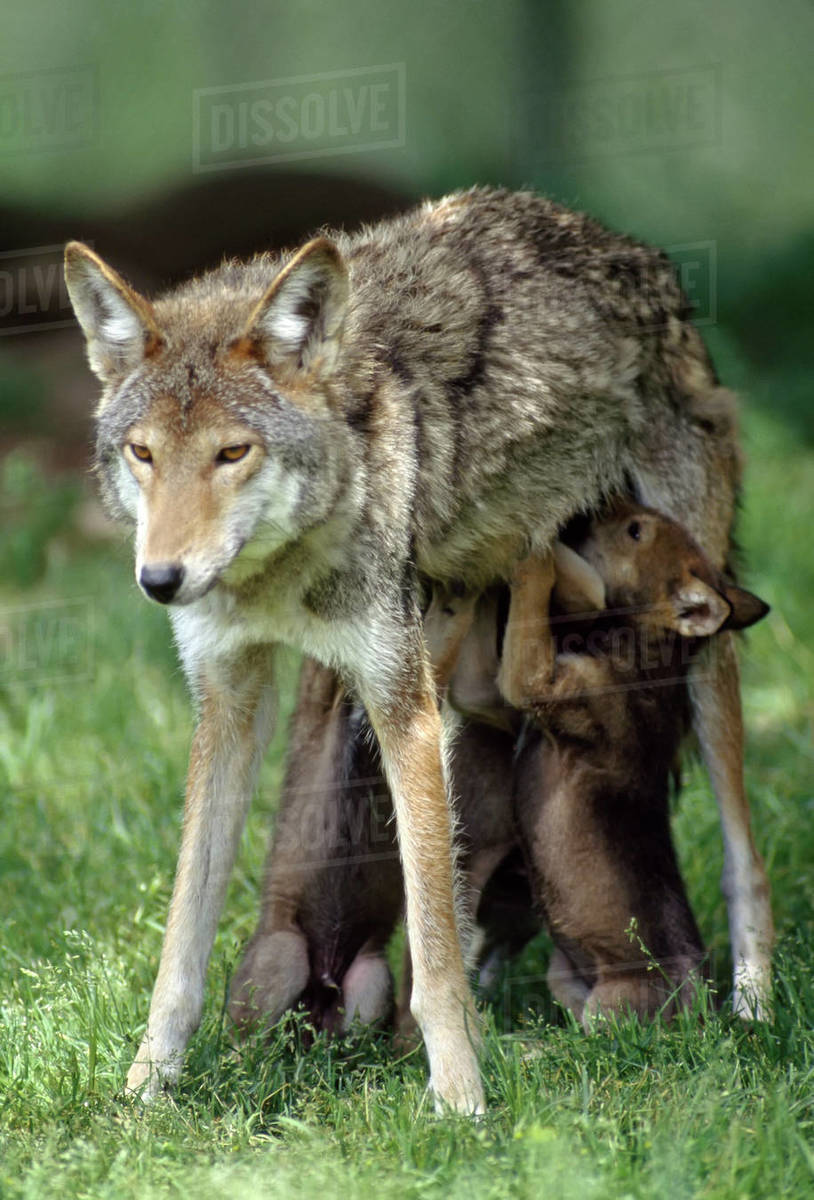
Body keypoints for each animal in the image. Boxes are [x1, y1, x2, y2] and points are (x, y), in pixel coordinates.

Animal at [64, 186, 772, 1112]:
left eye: (232, 453)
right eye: (143, 454)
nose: (161, 579)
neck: (282, 573)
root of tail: (631, 252)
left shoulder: (406, 706)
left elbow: (431, 956)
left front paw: (461, 1101)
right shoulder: (228, 706)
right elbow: (183, 944)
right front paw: (146, 1090)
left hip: (711, 661)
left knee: (742, 856)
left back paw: (754, 1010)